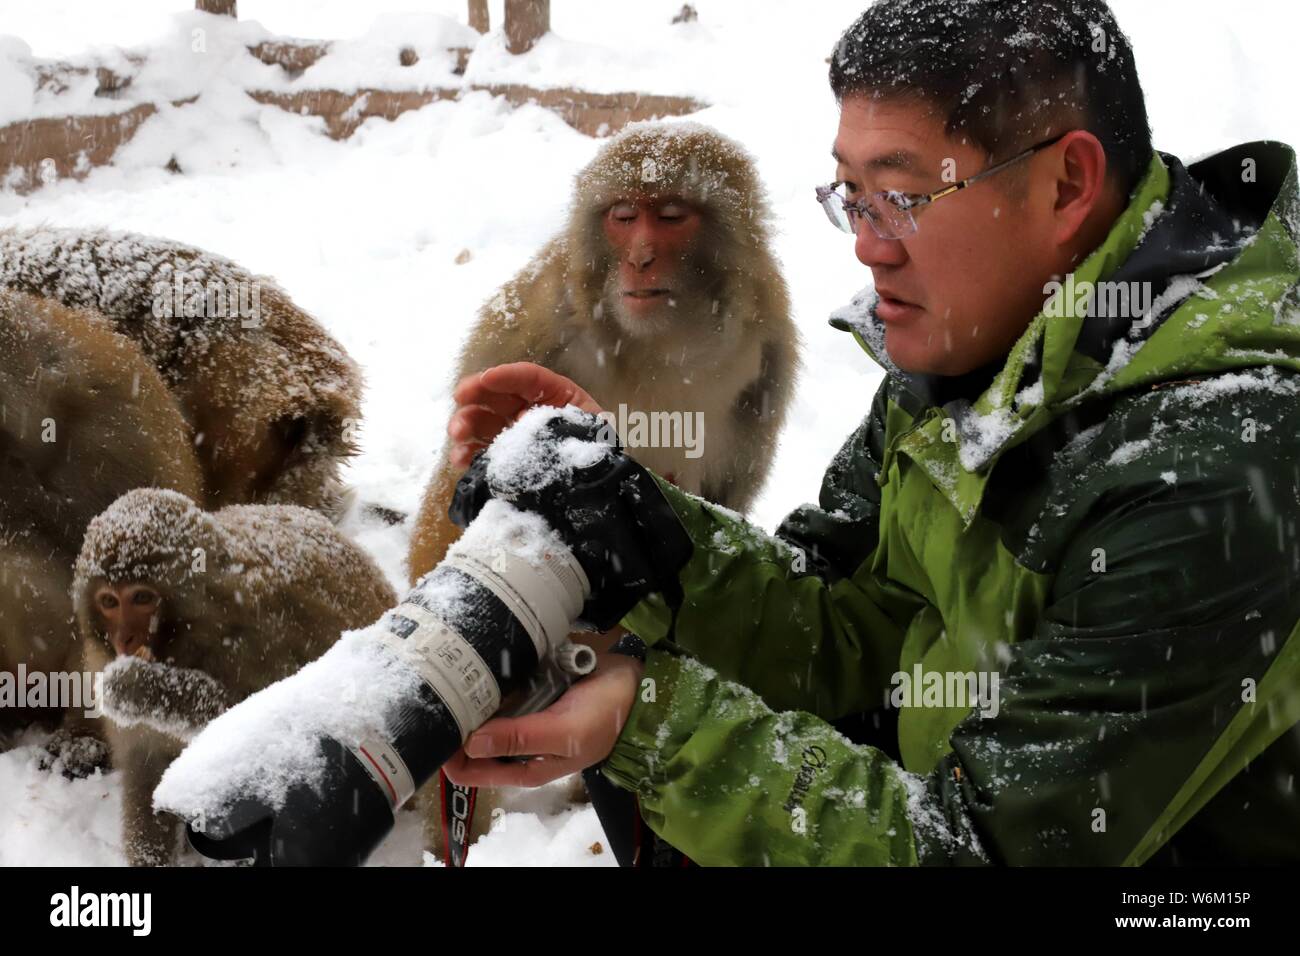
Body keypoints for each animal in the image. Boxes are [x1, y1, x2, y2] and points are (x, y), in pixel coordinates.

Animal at [73, 487, 398, 866]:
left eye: (141, 597)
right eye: (109, 601)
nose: (124, 638)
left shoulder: (258, 636)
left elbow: (269, 723)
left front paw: (138, 687)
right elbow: (145, 762)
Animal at [405, 121, 801, 863]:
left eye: (670, 216)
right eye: (623, 217)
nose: (641, 258)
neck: (668, 341)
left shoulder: (769, 349)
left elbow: (730, 494)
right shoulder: (533, 320)